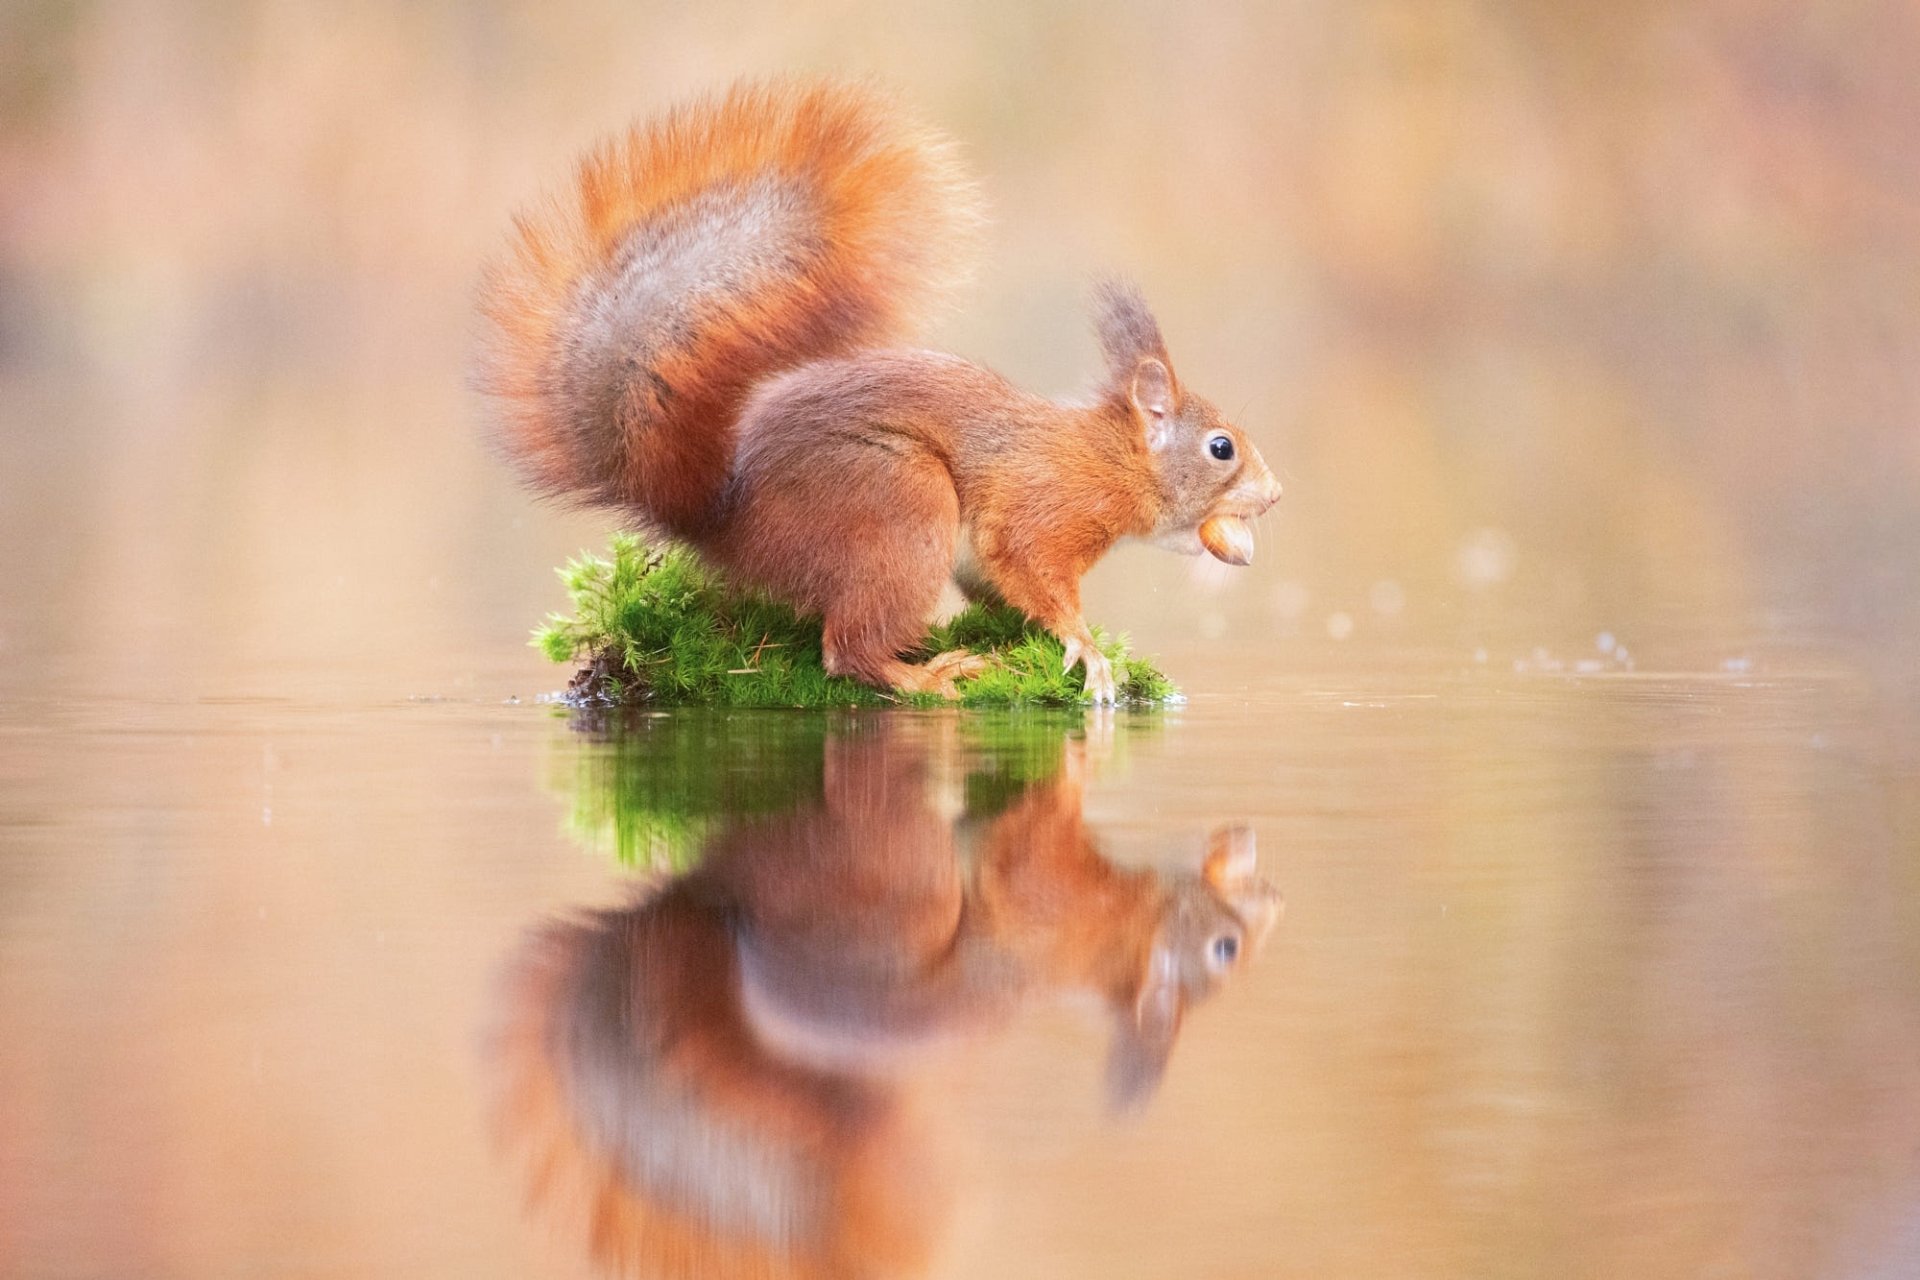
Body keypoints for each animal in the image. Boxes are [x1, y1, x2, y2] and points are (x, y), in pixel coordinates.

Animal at [477, 77, 1283, 702]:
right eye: (1222, 448)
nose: (1276, 497)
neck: (1112, 459)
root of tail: (722, 521)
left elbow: (997, 586)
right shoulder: (1044, 512)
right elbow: (1035, 571)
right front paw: (1088, 650)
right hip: (899, 502)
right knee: (846, 650)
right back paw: (925, 676)